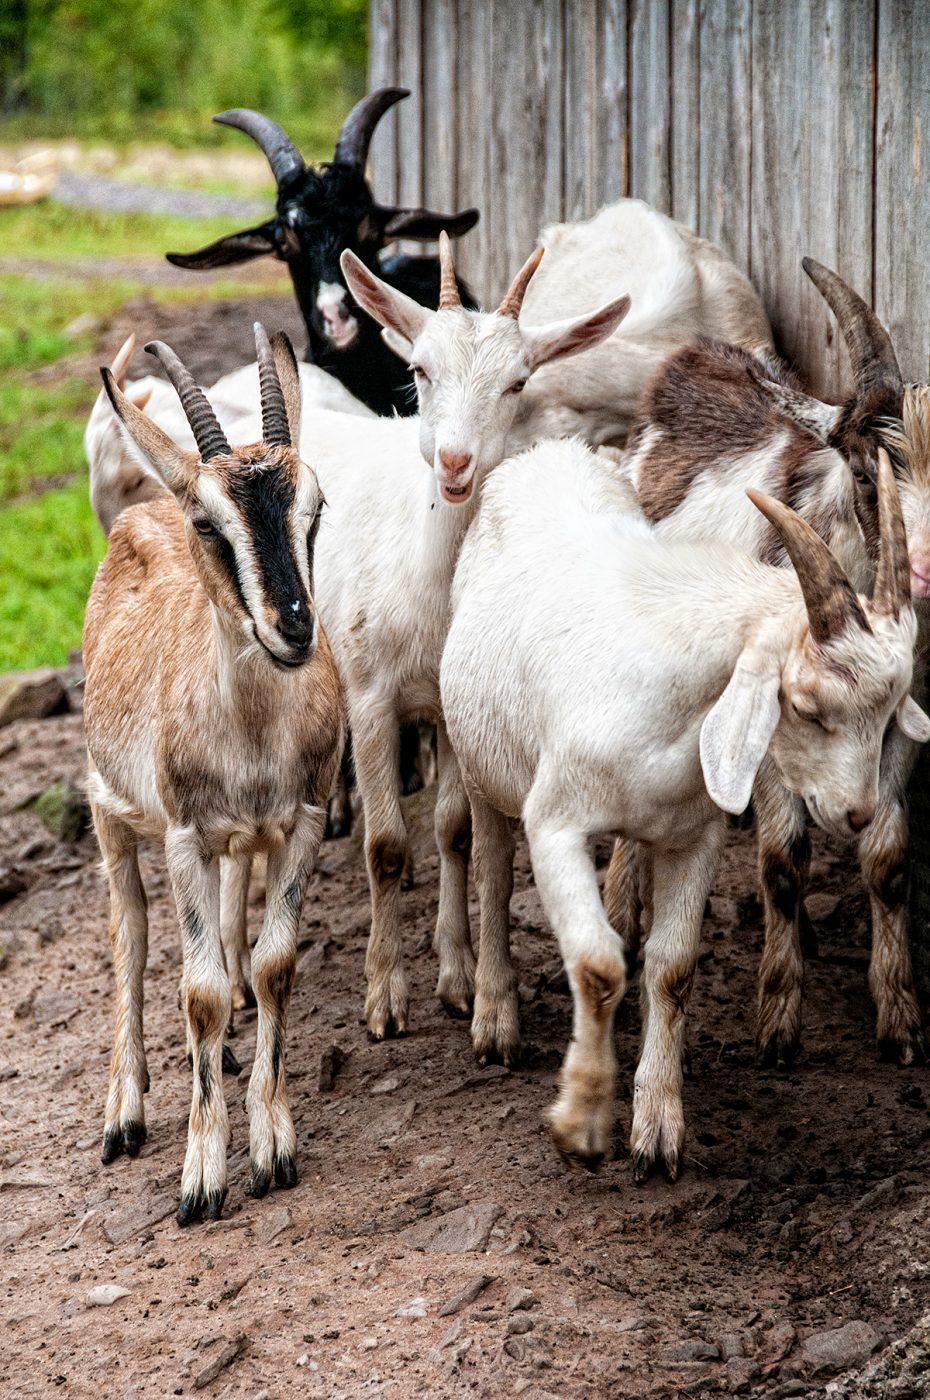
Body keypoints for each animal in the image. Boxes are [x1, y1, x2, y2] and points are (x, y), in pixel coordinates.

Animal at [83, 326, 344, 1224]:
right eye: (210, 522)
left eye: (316, 507)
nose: (293, 627)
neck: (252, 735)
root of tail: (142, 507)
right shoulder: (186, 837)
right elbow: (192, 988)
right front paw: (202, 1177)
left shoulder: (301, 820)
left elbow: (273, 966)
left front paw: (274, 1146)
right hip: (113, 817)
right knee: (129, 939)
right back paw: (124, 1113)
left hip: (239, 845)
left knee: (231, 928)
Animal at [439, 438, 928, 1177]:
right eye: (807, 706)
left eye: (891, 711)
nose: (857, 815)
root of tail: (550, 448)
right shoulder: (556, 822)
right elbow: (596, 965)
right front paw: (581, 1121)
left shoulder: (695, 838)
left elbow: (672, 970)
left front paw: (658, 1129)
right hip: (480, 761)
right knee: (493, 873)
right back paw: (495, 1019)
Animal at [612, 258, 930, 1068]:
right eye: (866, 474)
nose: (923, 571)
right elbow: (783, 859)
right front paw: (779, 1022)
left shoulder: (897, 726)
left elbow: (887, 859)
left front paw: (900, 1017)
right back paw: (624, 923)